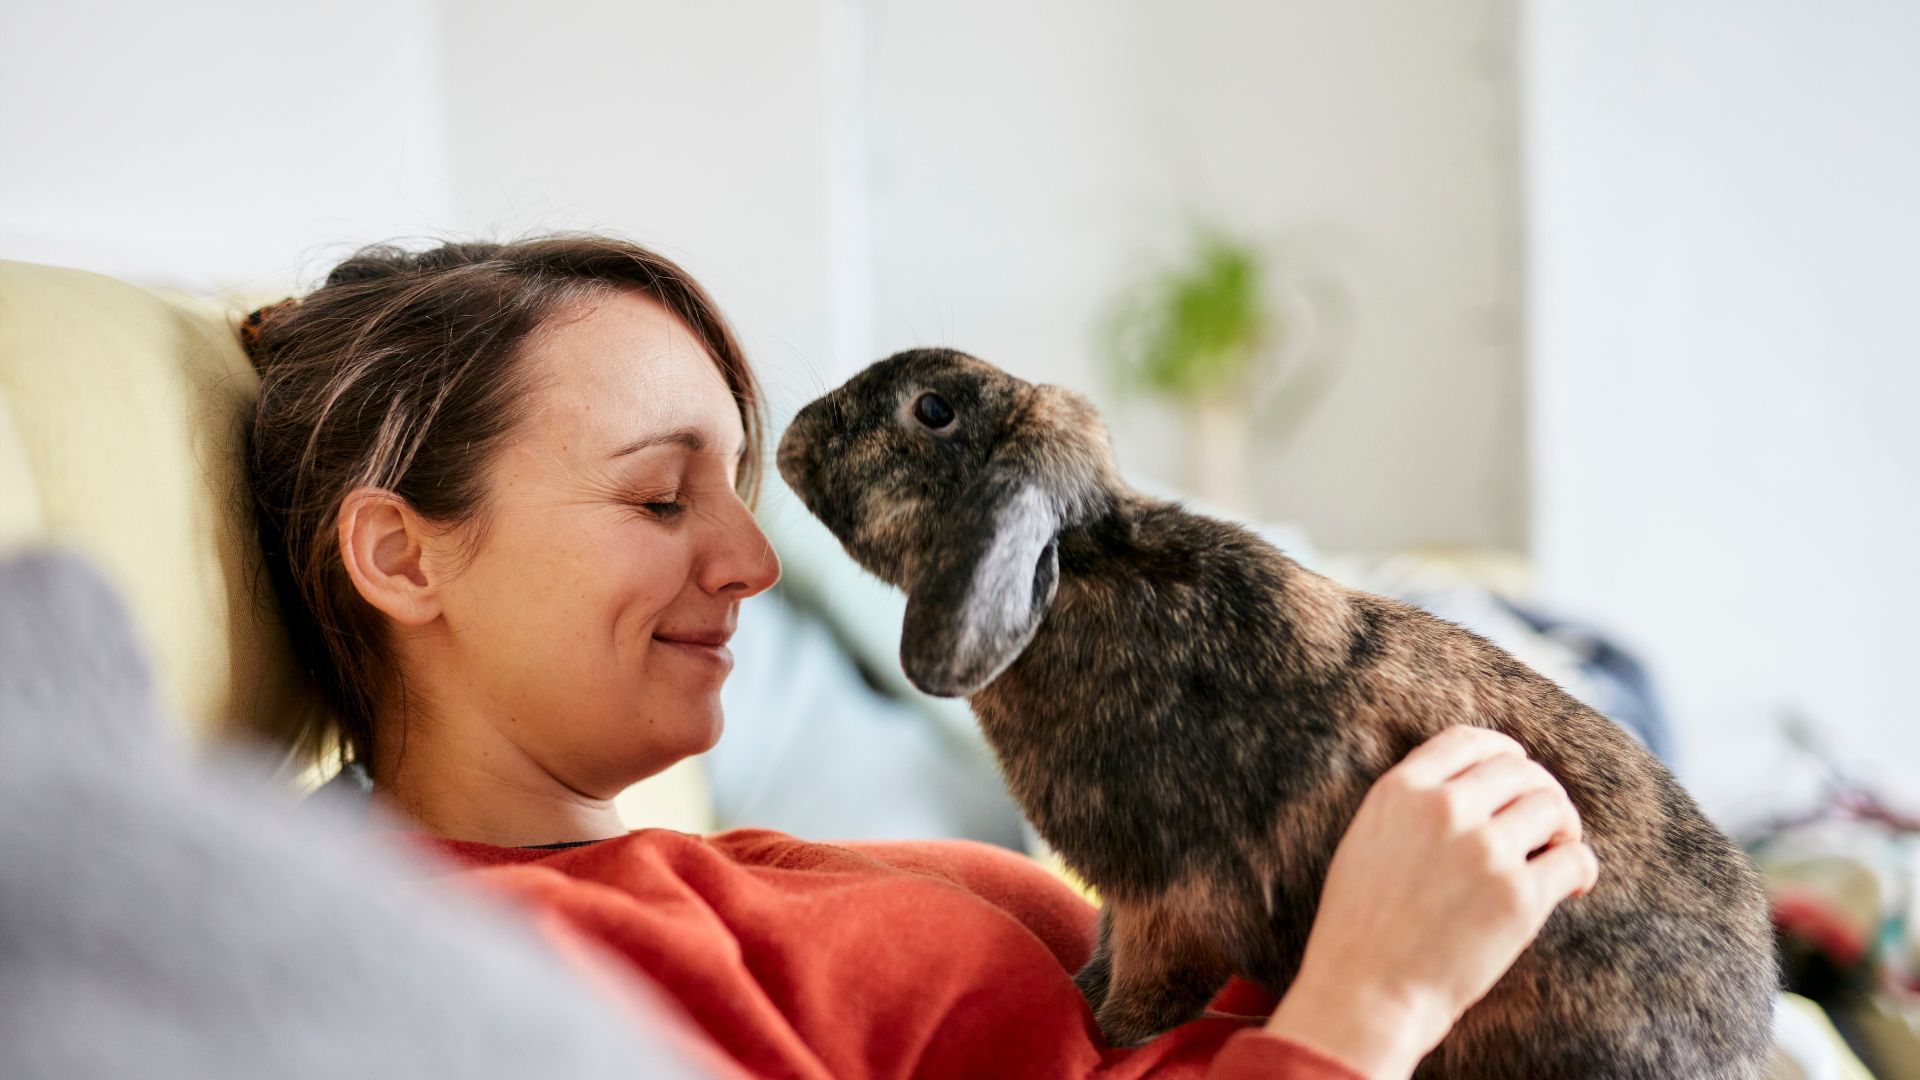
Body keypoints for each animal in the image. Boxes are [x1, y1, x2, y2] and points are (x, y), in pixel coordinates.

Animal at [775, 348, 1778, 1079]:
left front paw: (1103, 1034)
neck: (1084, 570)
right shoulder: (1127, 905)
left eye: (932, 410)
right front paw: (1081, 996)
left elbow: (1140, 1003)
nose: (792, 436)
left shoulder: (1170, 905)